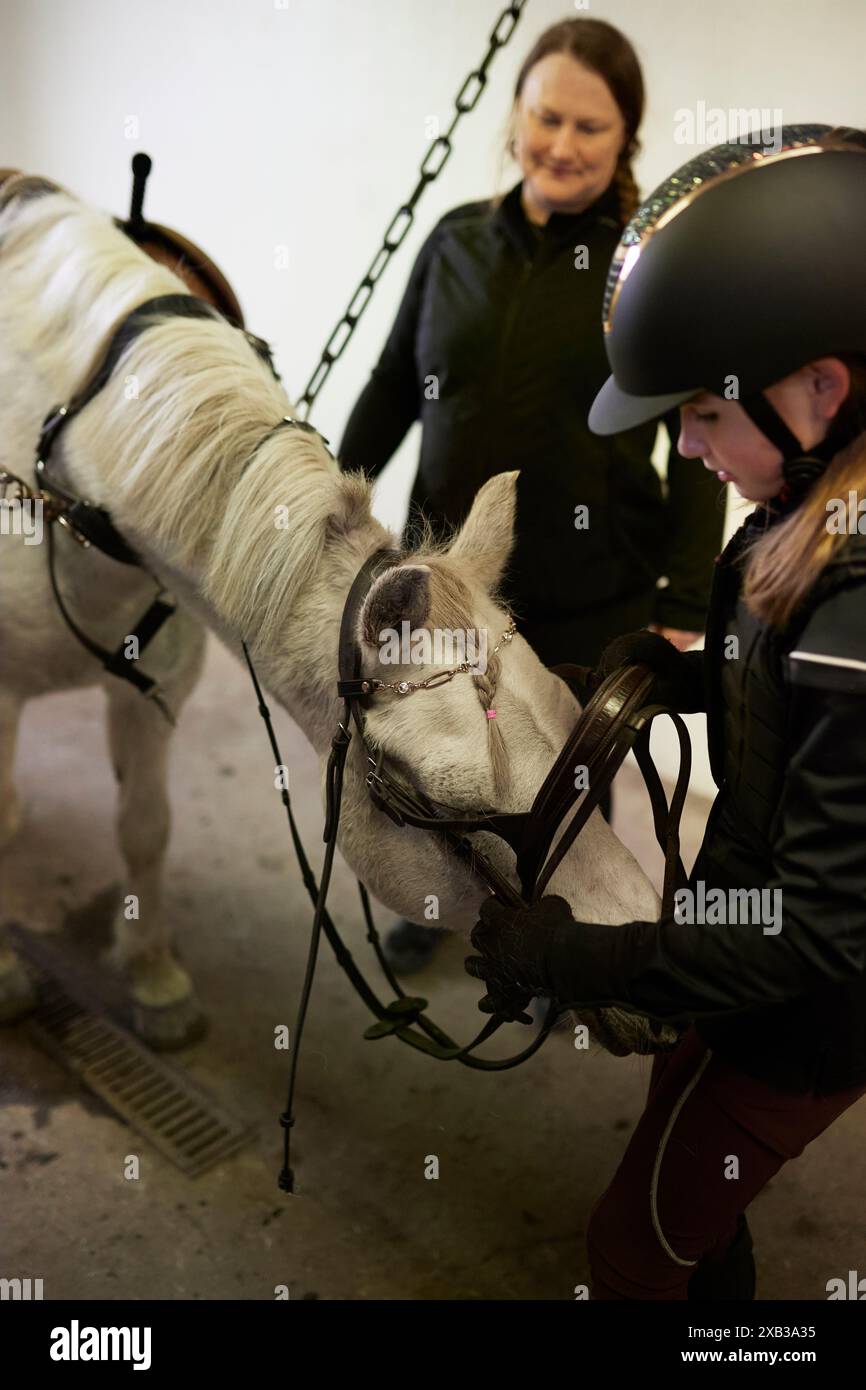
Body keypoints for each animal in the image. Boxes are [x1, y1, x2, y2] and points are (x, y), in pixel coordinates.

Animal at [0, 173, 674, 1056]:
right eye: (443, 800)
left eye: (573, 716)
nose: (636, 958)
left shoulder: (155, 689)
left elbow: (144, 824)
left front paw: (153, 978)